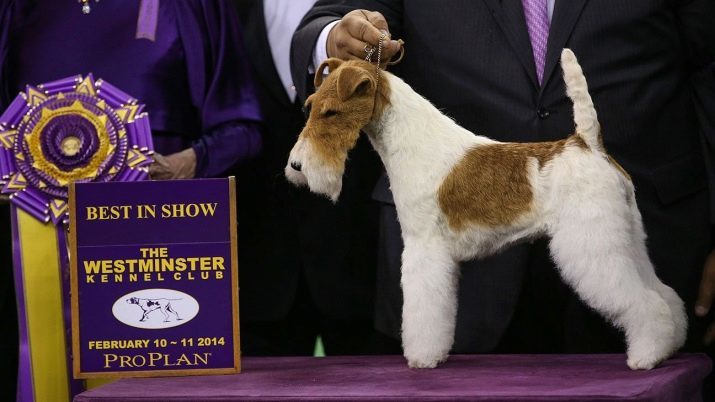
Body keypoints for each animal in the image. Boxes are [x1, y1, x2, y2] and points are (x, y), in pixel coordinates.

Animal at [286, 50, 688, 370]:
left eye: (331, 111)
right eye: (310, 105)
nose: (296, 167)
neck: (414, 141)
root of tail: (588, 143)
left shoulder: (423, 248)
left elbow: (422, 309)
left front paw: (422, 358)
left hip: (592, 243)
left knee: (646, 301)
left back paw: (646, 357)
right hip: (627, 238)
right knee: (664, 293)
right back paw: (669, 346)